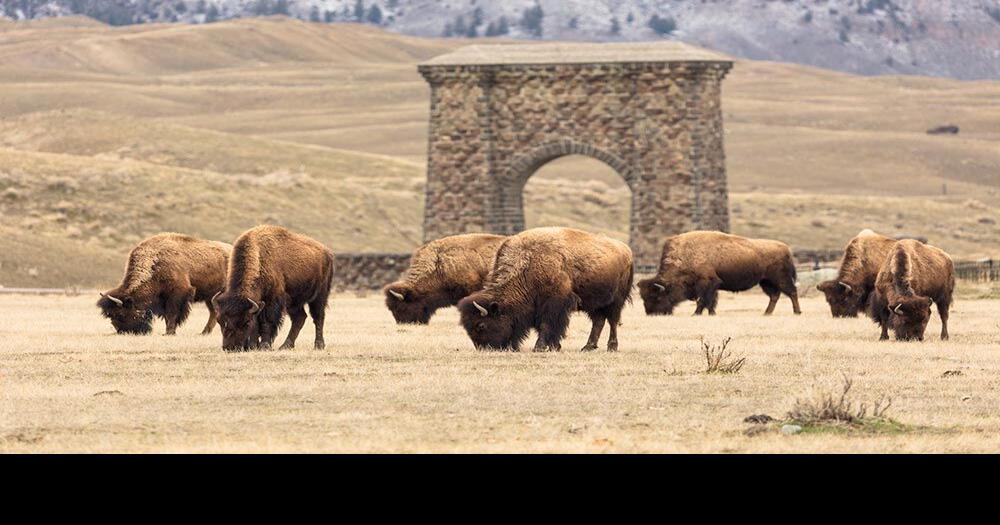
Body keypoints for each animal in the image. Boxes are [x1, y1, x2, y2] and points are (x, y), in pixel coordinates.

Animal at [98, 234, 230, 335]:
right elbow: (167, 315)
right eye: (111, 316)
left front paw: (169, 332)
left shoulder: (177, 294)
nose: (122, 331)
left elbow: (172, 314)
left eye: (120, 314)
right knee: (213, 312)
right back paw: (204, 332)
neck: (155, 262)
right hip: (210, 297)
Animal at [457, 227, 633, 352]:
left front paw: (540, 347)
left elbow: (546, 324)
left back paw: (611, 347)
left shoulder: (553, 303)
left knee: (612, 321)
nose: (485, 349)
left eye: (481, 325)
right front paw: (555, 346)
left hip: (615, 301)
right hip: (595, 303)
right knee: (598, 321)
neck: (528, 262)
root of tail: (626, 250)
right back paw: (588, 347)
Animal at [637, 231, 801, 316]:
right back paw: (766, 313)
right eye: (644, 298)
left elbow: (703, 300)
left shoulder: (707, 283)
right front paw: (712, 314)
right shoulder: (713, 285)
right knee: (774, 296)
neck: (685, 256)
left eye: (657, 297)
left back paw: (797, 312)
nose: (652, 314)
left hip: (781, 279)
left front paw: (695, 314)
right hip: (766, 282)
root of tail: (786, 249)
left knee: (792, 292)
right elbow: (711, 301)